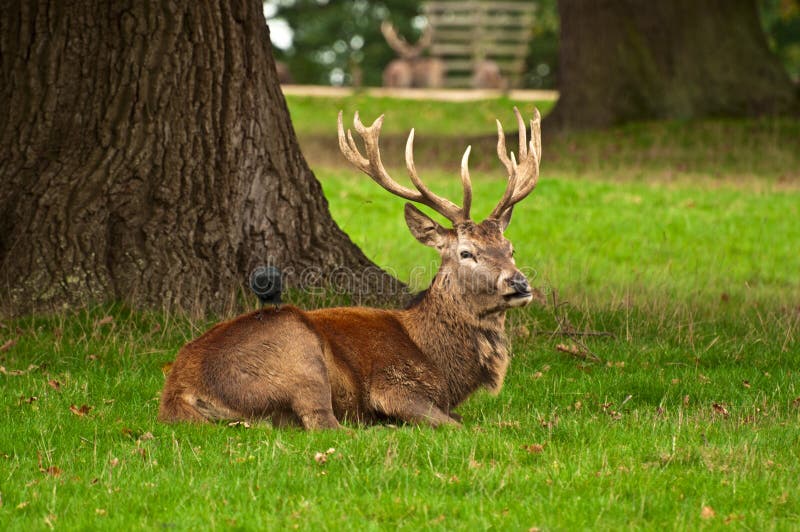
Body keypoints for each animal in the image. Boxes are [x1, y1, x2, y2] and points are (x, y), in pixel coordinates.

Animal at [158, 107, 542, 430]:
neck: (442, 365)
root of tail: (178, 391)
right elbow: (460, 425)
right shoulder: (393, 383)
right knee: (324, 425)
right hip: (298, 353)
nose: (520, 283)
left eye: (510, 248)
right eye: (466, 252)